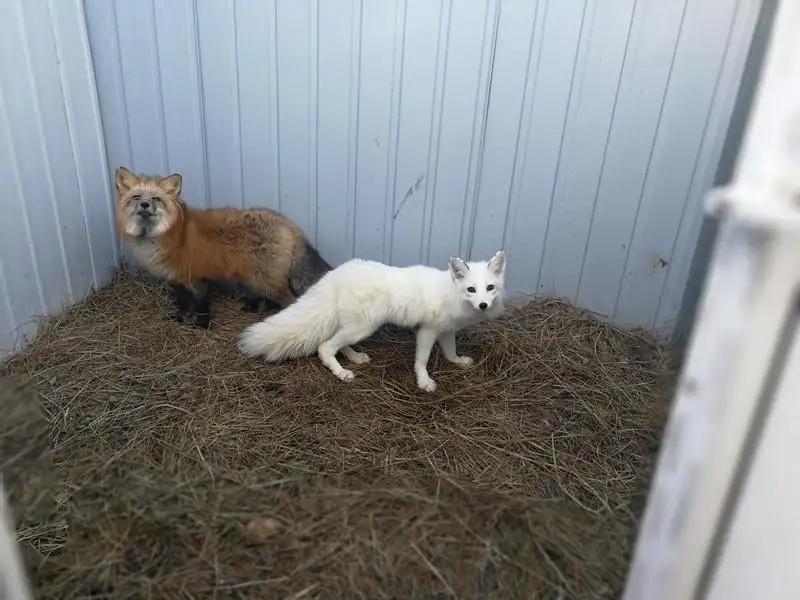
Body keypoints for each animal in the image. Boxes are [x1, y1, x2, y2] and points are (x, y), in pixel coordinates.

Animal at [114, 166, 330, 328]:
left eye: (156, 199)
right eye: (136, 197)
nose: (144, 205)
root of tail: (287, 223)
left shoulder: (197, 277)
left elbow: (202, 305)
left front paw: (202, 325)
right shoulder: (177, 279)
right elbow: (183, 303)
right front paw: (180, 318)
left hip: (265, 281)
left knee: (290, 300)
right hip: (259, 279)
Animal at [238, 251, 507, 392]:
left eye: (489, 288)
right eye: (471, 289)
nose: (483, 305)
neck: (451, 292)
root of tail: (336, 274)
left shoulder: (445, 331)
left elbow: (451, 352)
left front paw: (459, 361)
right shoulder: (427, 331)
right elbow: (421, 360)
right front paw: (424, 381)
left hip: (354, 326)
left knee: (336, 343)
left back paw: (355, 357)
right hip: (363, 327)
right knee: (324, 347)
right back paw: (341, 372)